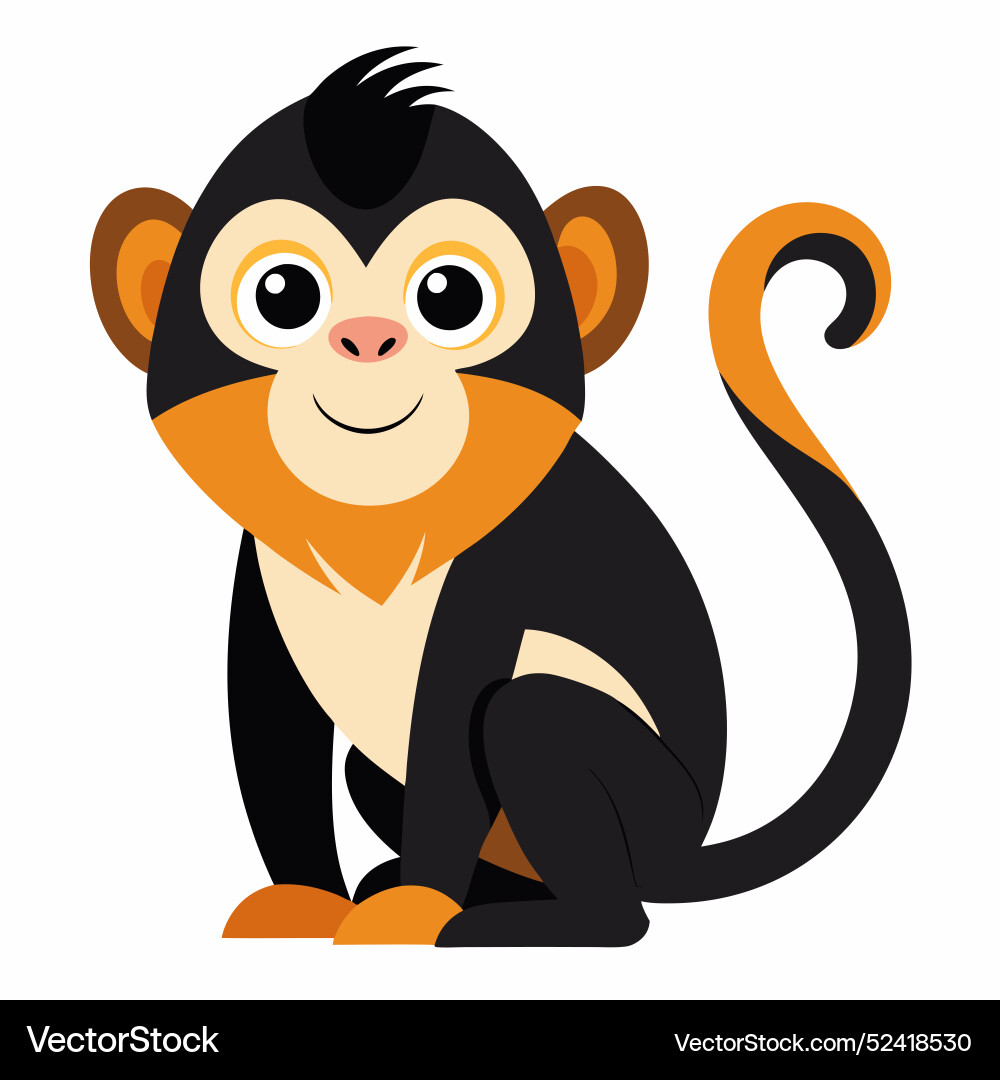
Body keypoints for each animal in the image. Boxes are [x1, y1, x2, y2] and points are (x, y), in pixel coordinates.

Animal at [90, 47, 910, 947]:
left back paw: (508, 921)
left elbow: (452, 725)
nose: (367, 340)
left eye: (449, 295)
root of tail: (686, 849)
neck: (376, 524)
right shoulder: (264, 563)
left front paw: (414, 912)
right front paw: (306, 901)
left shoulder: (499, 563)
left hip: (639, 800)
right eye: (284, 295)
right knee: (374, 769)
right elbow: (274, 725)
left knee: (536, 737)